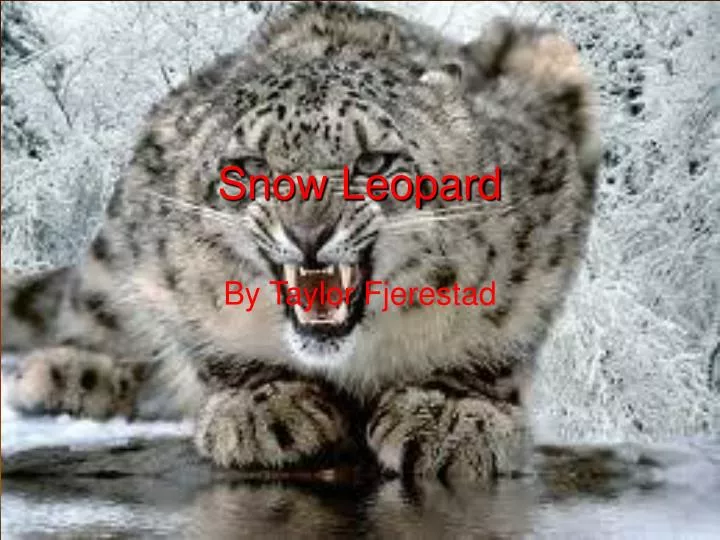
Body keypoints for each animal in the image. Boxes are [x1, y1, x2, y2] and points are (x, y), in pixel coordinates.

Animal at [2, 1, 600, 482]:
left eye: (374, 161)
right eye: (250, 167)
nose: (309, 233)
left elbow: (504, 329)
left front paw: (450, 413)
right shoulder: (164, 252)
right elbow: (201, 336)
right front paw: (264, 407)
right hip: (108, 266)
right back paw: (65, 374)